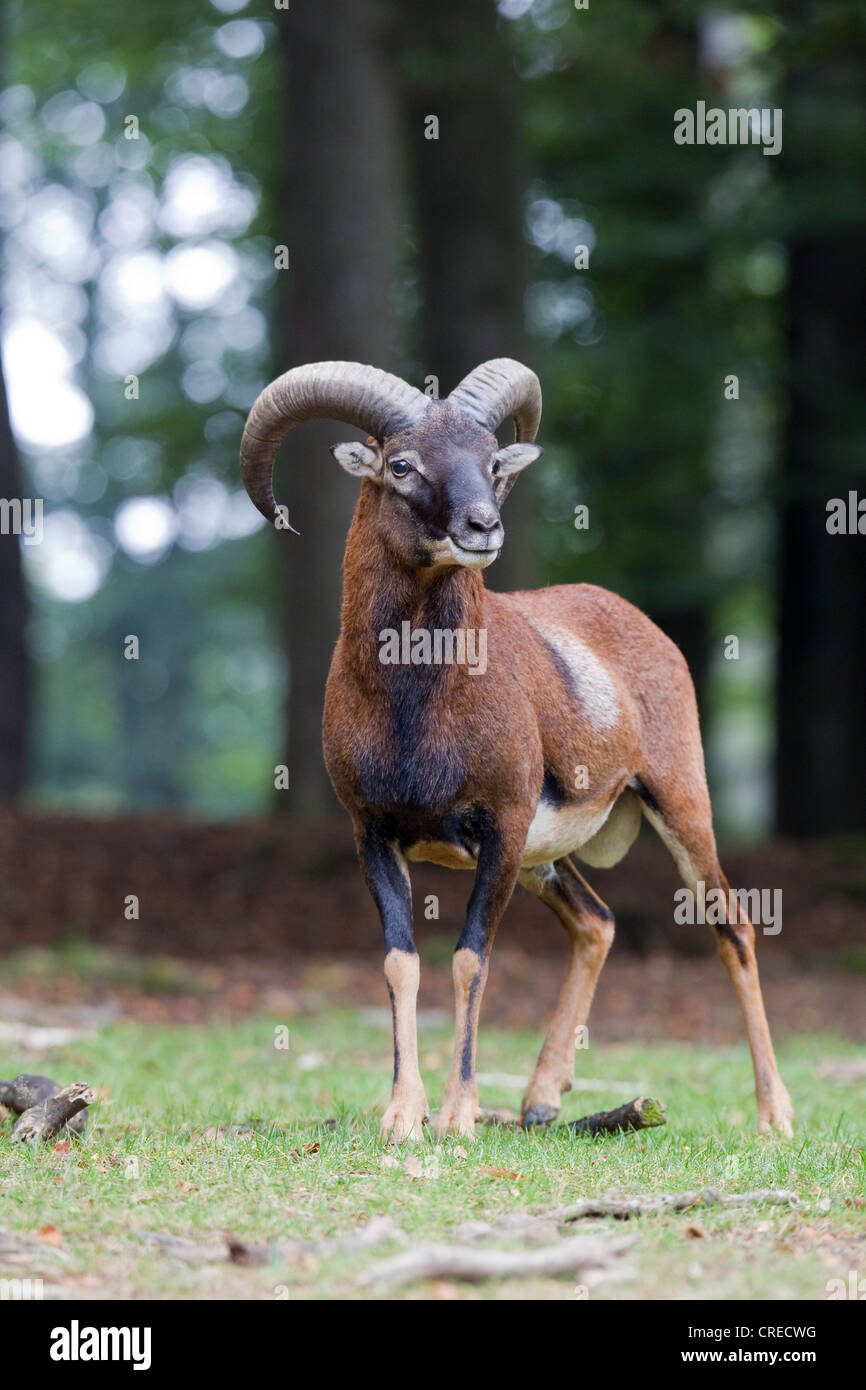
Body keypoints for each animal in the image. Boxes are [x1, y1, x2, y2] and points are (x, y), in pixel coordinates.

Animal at [240, 358, 793, 1142]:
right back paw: (540, 1101)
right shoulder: (373, 834)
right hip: (547, 860)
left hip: (679, 809)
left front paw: (458, 1117)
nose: (483, 526)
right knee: (596, 924)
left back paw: (775, 1116)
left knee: (733, 926)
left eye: (493, 463)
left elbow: (471, 960)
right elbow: (401, 962)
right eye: (401, 465)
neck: (415, 709)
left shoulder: (499, 830)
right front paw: (402, 1116)